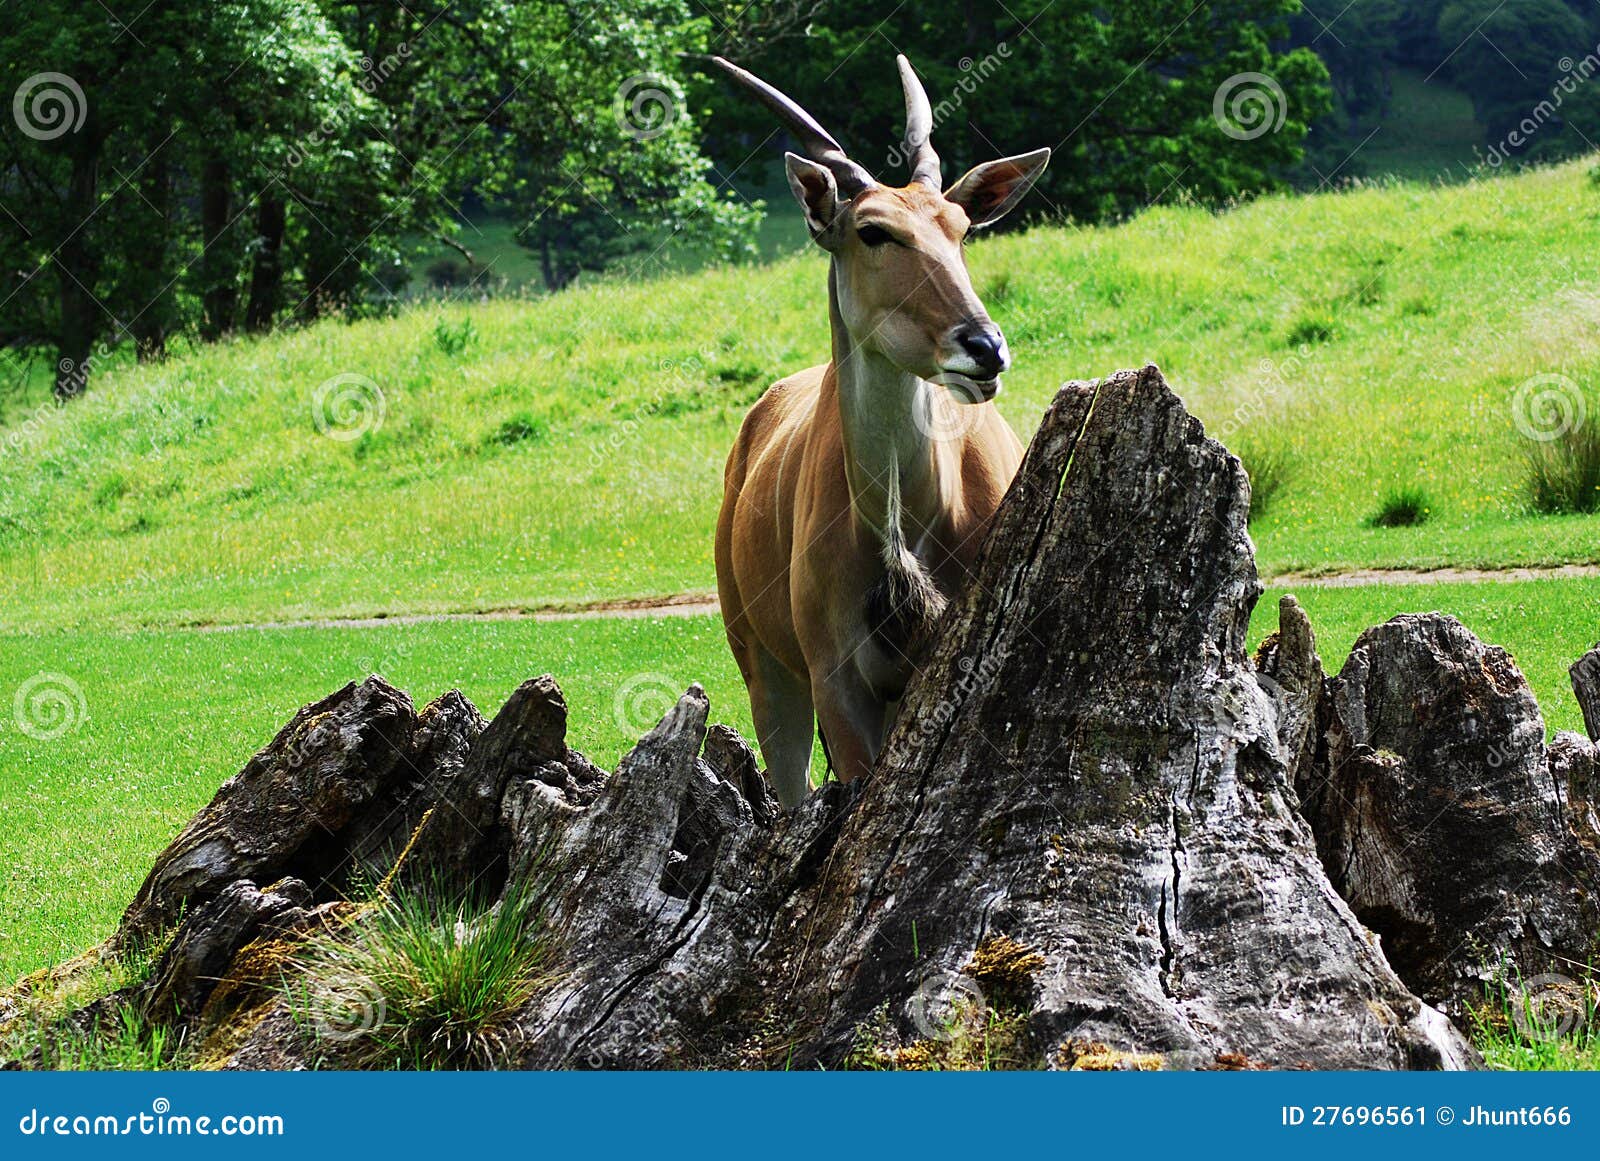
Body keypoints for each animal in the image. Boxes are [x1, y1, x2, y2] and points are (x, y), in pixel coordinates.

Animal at [712, 55, 1050, 808]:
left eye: (960, 228)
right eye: (873, 230)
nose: (984, 347)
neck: (902, 527)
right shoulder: (836, 681)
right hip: (764, 669)